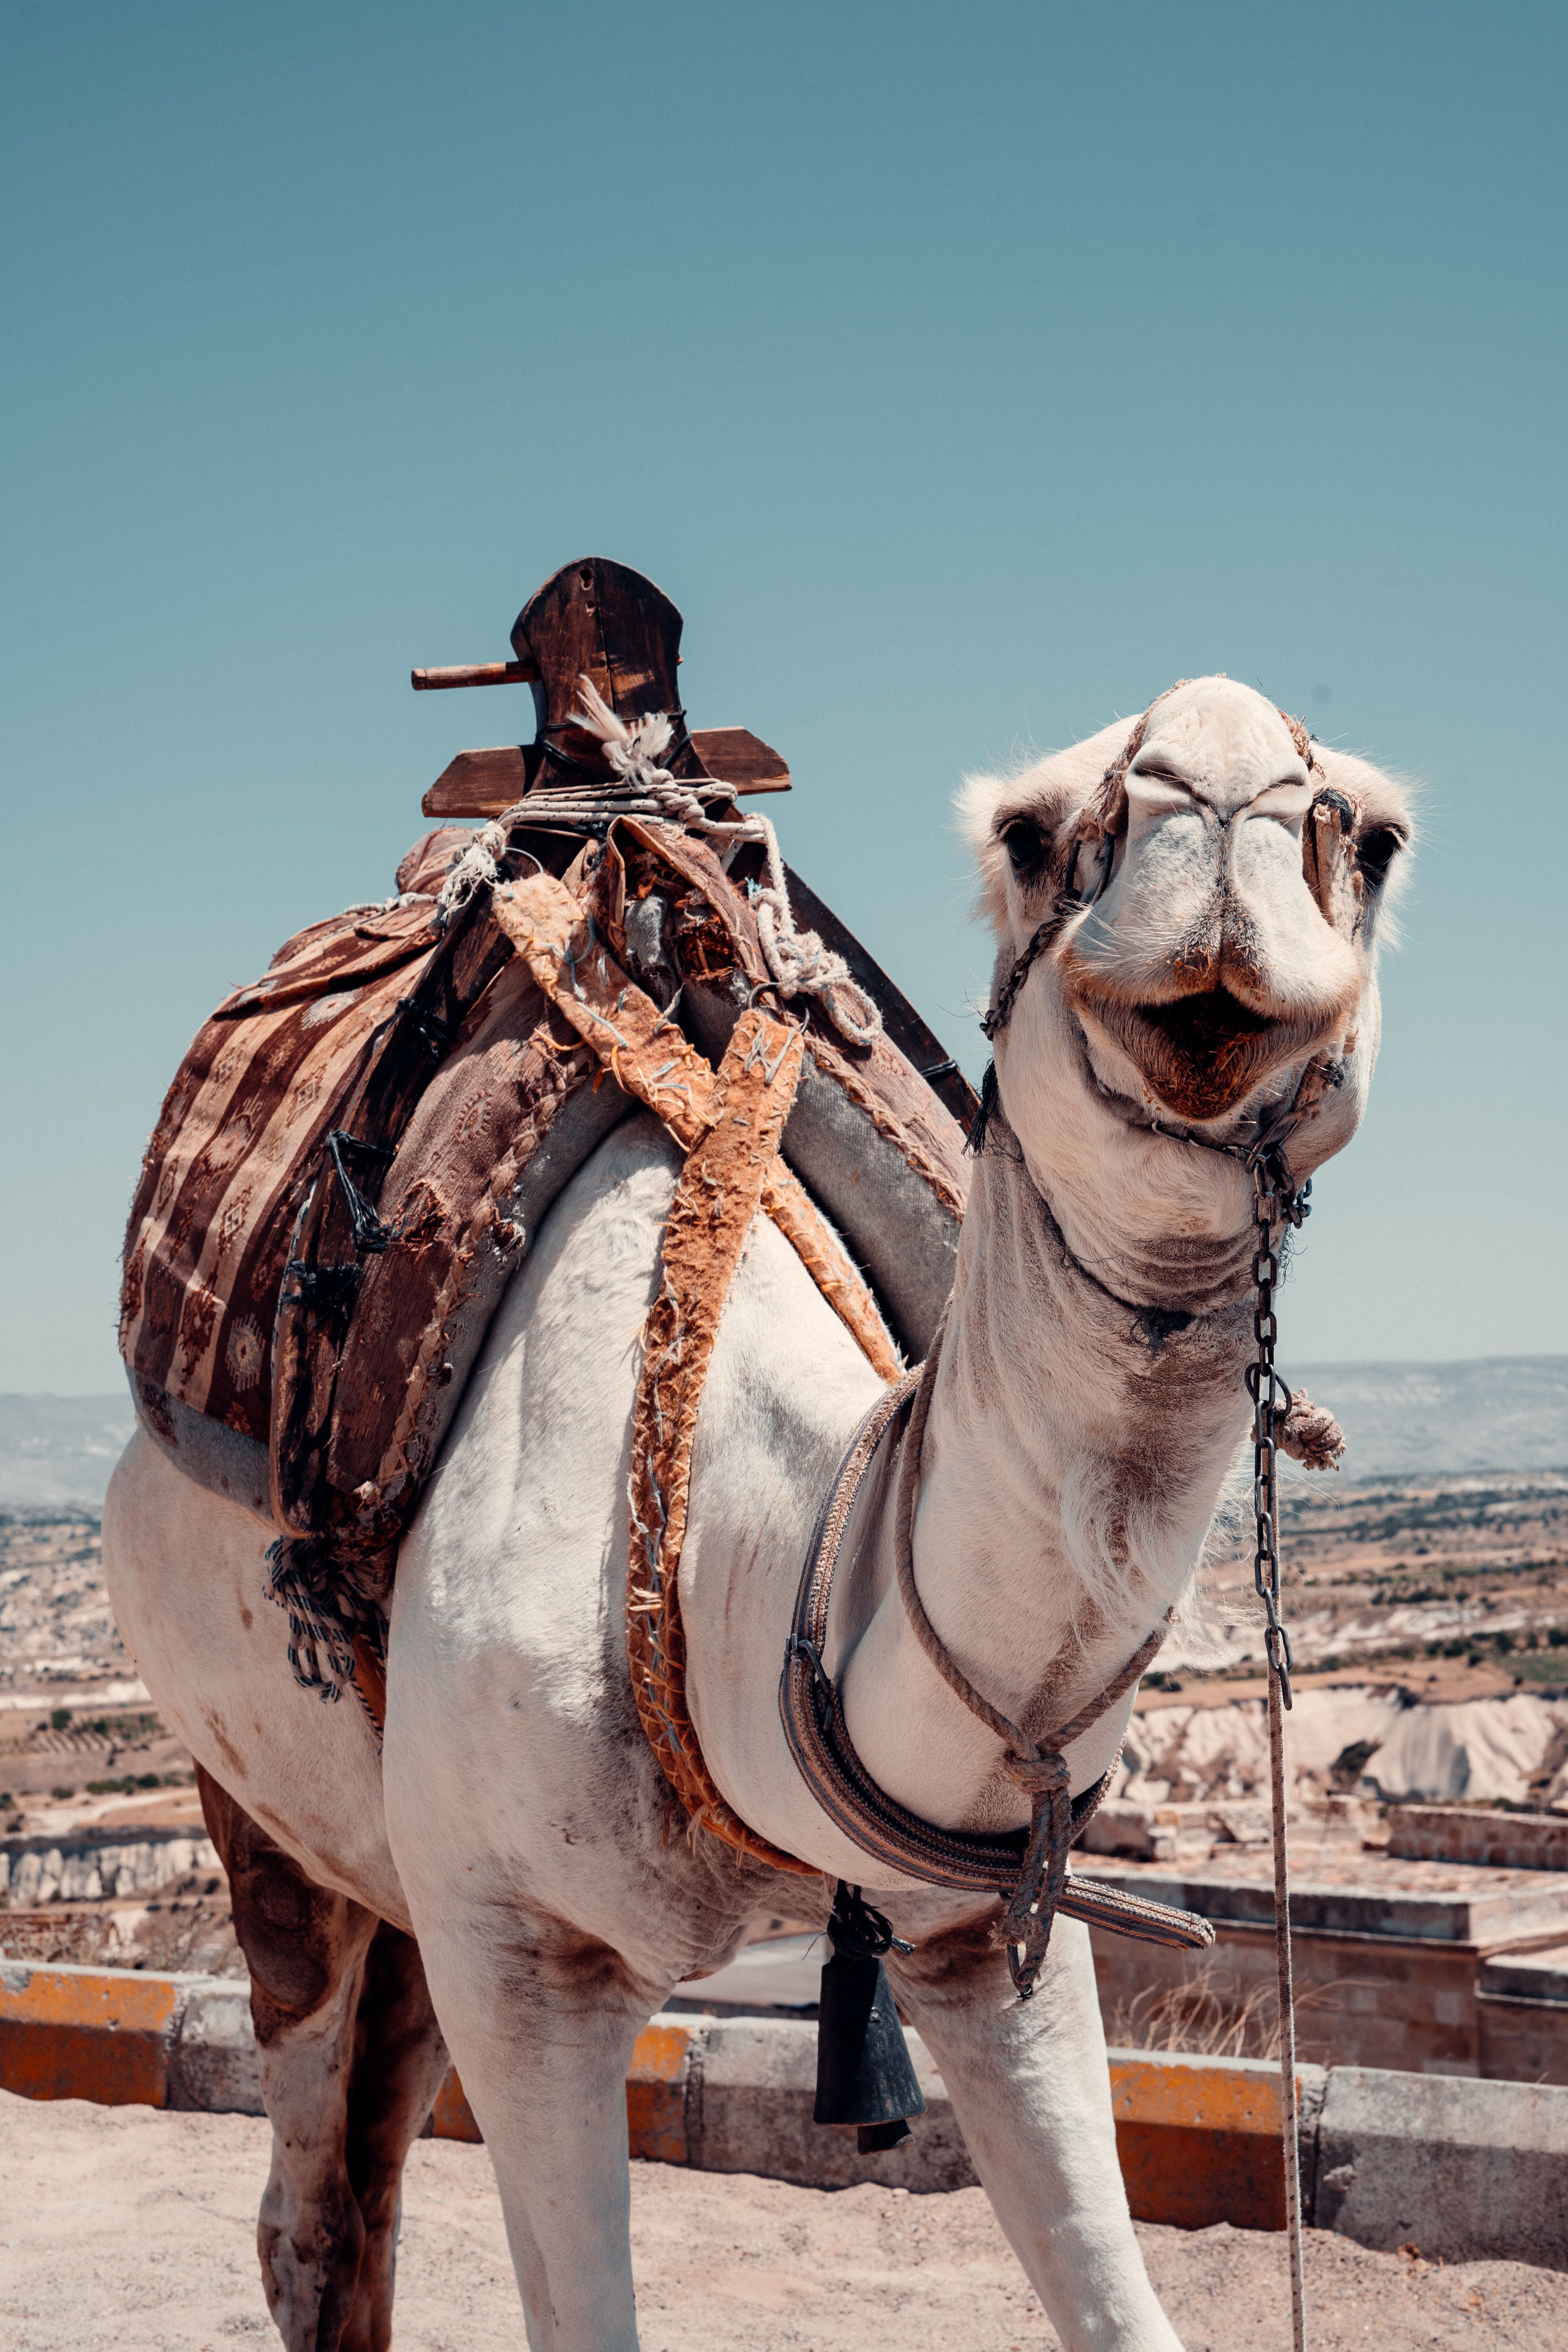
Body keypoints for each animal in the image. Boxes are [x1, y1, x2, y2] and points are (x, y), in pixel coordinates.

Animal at [102, 675, 1411, 2351]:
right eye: (1027, 832)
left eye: (1366, 838)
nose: (1223, 778)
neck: (727, 1574)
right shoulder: (518, 1953)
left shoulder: (989, 1919)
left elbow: (1121, 2312)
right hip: (257, 1799)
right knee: (311, 2212)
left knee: (363, 2175)